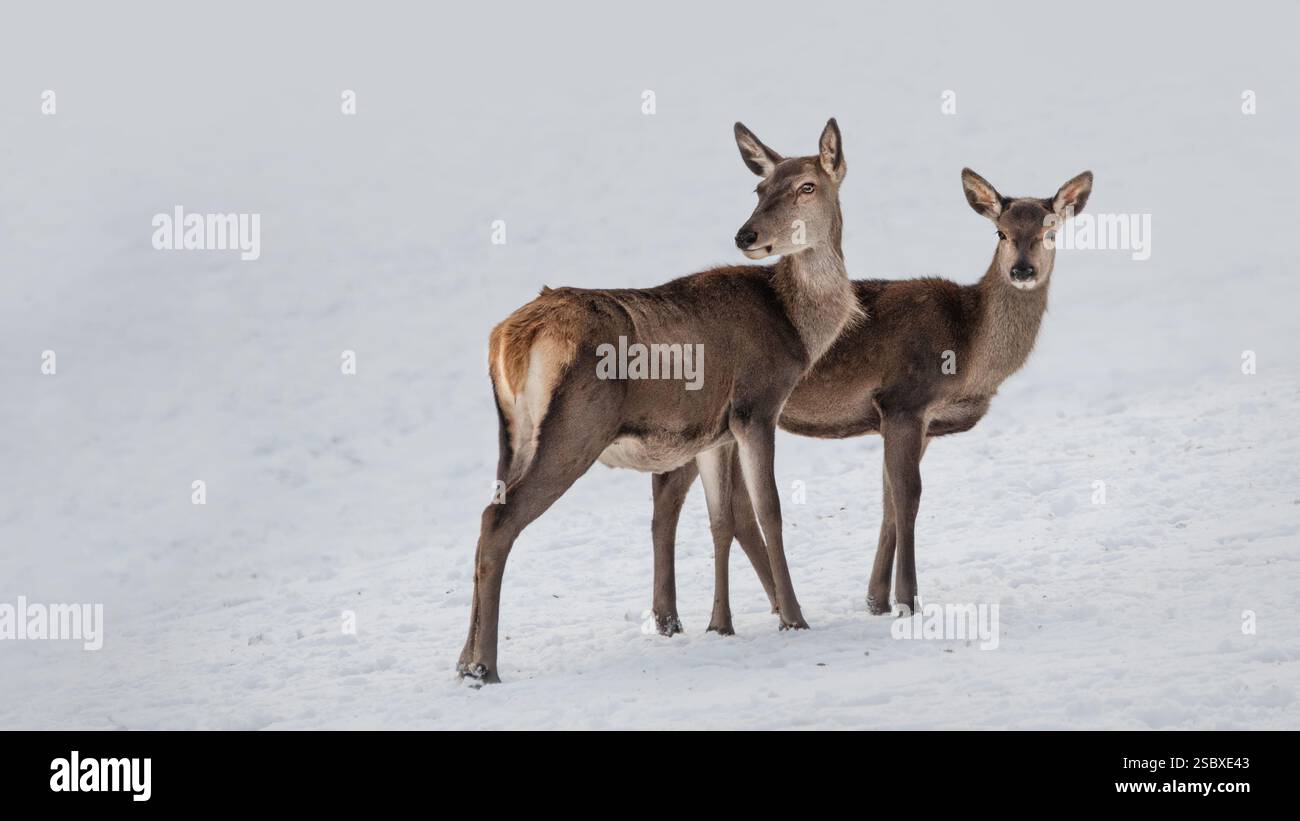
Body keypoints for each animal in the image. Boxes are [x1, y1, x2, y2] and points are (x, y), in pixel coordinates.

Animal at [458, 118, 862, 683]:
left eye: (806, 186)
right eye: (760, 189)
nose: (747, 235)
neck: (798, 333)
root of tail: (512, 338)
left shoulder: (716, 432)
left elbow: (723, 520)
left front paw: (722, 624)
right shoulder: (756, 405)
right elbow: (769, 510)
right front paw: (795, 619)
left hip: (510, 435)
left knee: (483, 515)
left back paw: (461, 662)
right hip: (574, 428)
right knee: (499, 522)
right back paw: (485, 668)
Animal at [647, 168, 1093, 635]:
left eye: (1050, 231)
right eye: (1000, 232)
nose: (1022, 270)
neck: (968, 351)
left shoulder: (916, 422)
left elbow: (889, 502)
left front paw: (876, 599)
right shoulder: (904, 400)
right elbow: (908, 496)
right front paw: (907, 600)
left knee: (705, 502)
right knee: (671, 499)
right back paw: (677, 618)